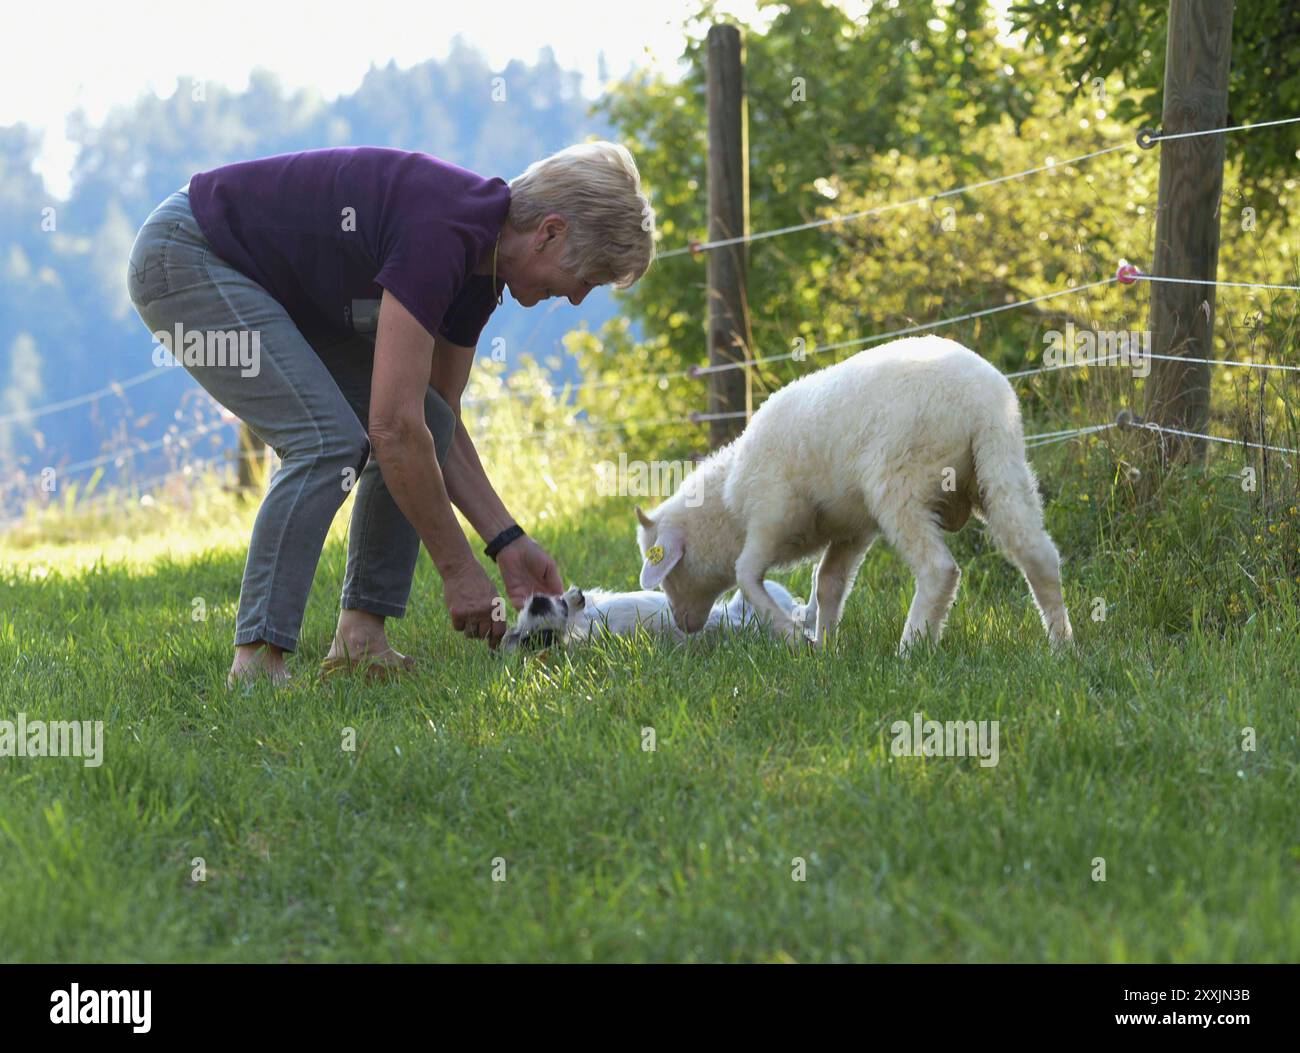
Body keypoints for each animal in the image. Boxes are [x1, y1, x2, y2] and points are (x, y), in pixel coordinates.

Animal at [635, 335, 1073, 654]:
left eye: (669, 573)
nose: (683, 625)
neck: (727, 507)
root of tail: (977, 405)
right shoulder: (851, 529)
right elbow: (827, 582)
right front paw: (825, 646)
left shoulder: (770, 517)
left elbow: (745, 575)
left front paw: (794, 638)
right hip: (1001, 466)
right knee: (1038, 555)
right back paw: (1062, 646)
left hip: (899, 483)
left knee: (939, 570)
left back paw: (910, 650)